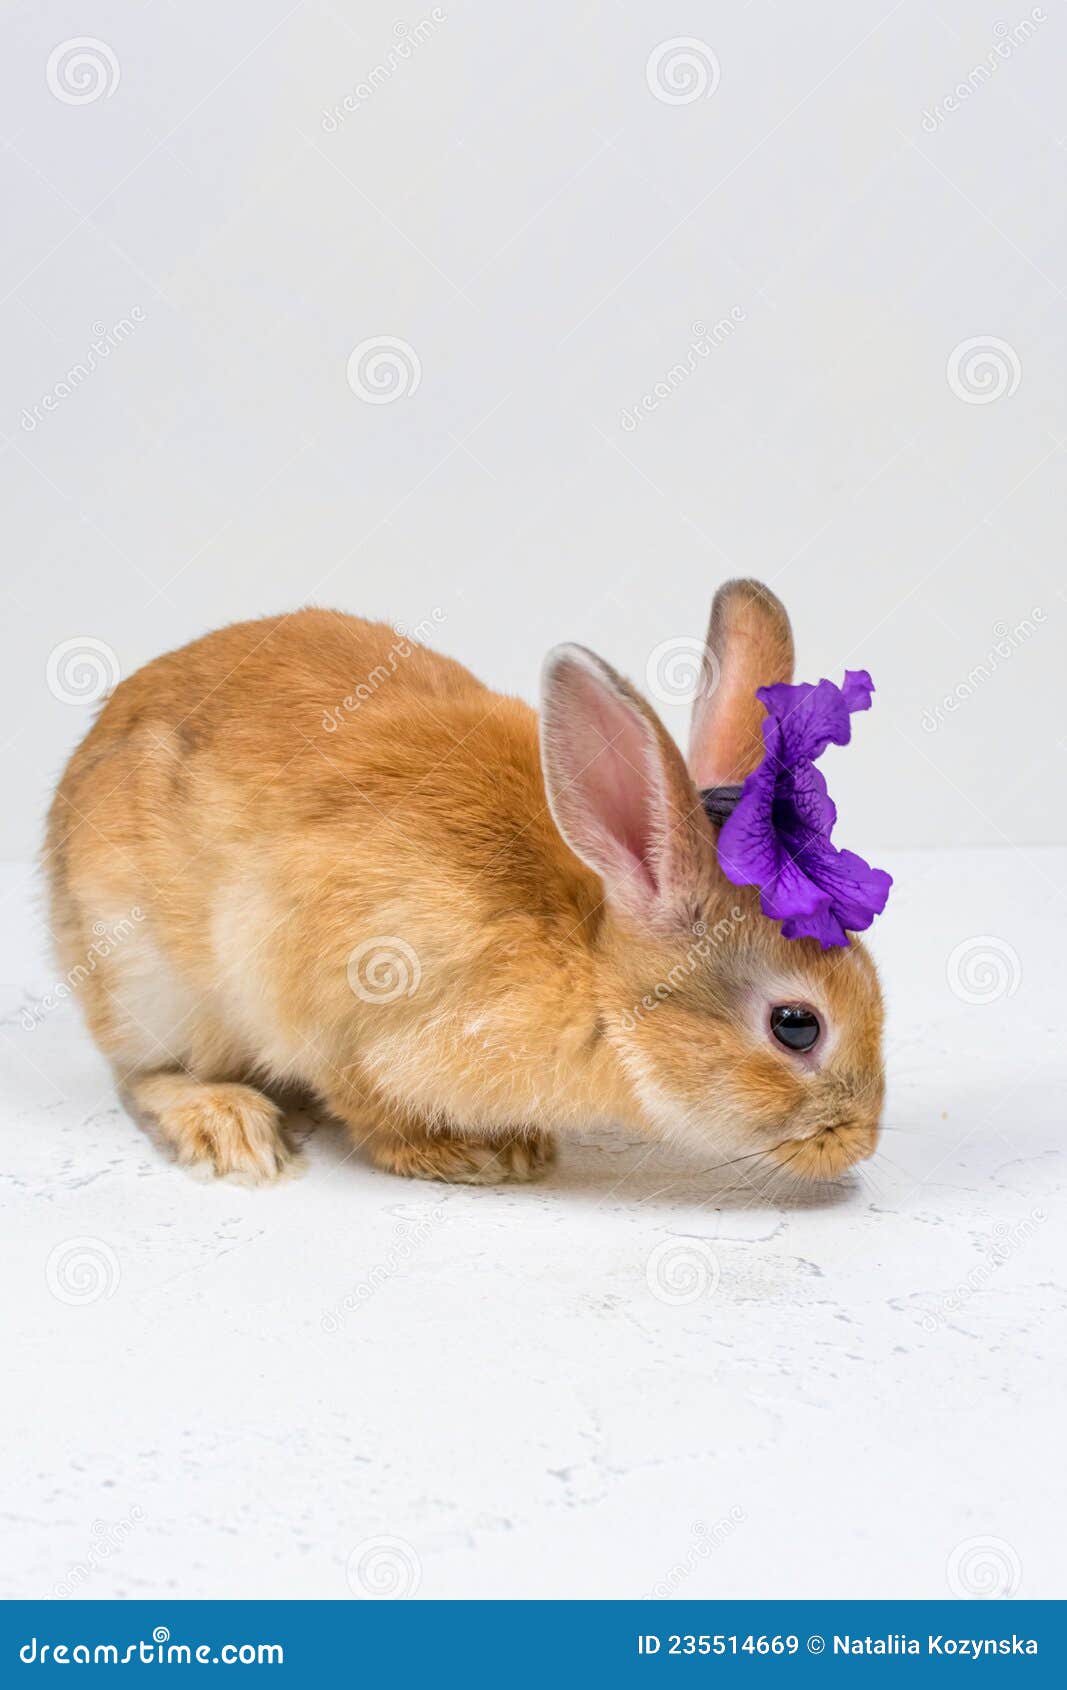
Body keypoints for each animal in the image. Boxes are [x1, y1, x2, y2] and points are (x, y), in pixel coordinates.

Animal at [45, 579, 885, 1187]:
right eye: (796, 1026)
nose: (859, 1140)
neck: (592, 970)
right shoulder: (338, 1007)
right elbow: (368, 1104)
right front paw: (471, 1157)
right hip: (146, 978)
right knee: (143, 1074)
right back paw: (227, 1126)